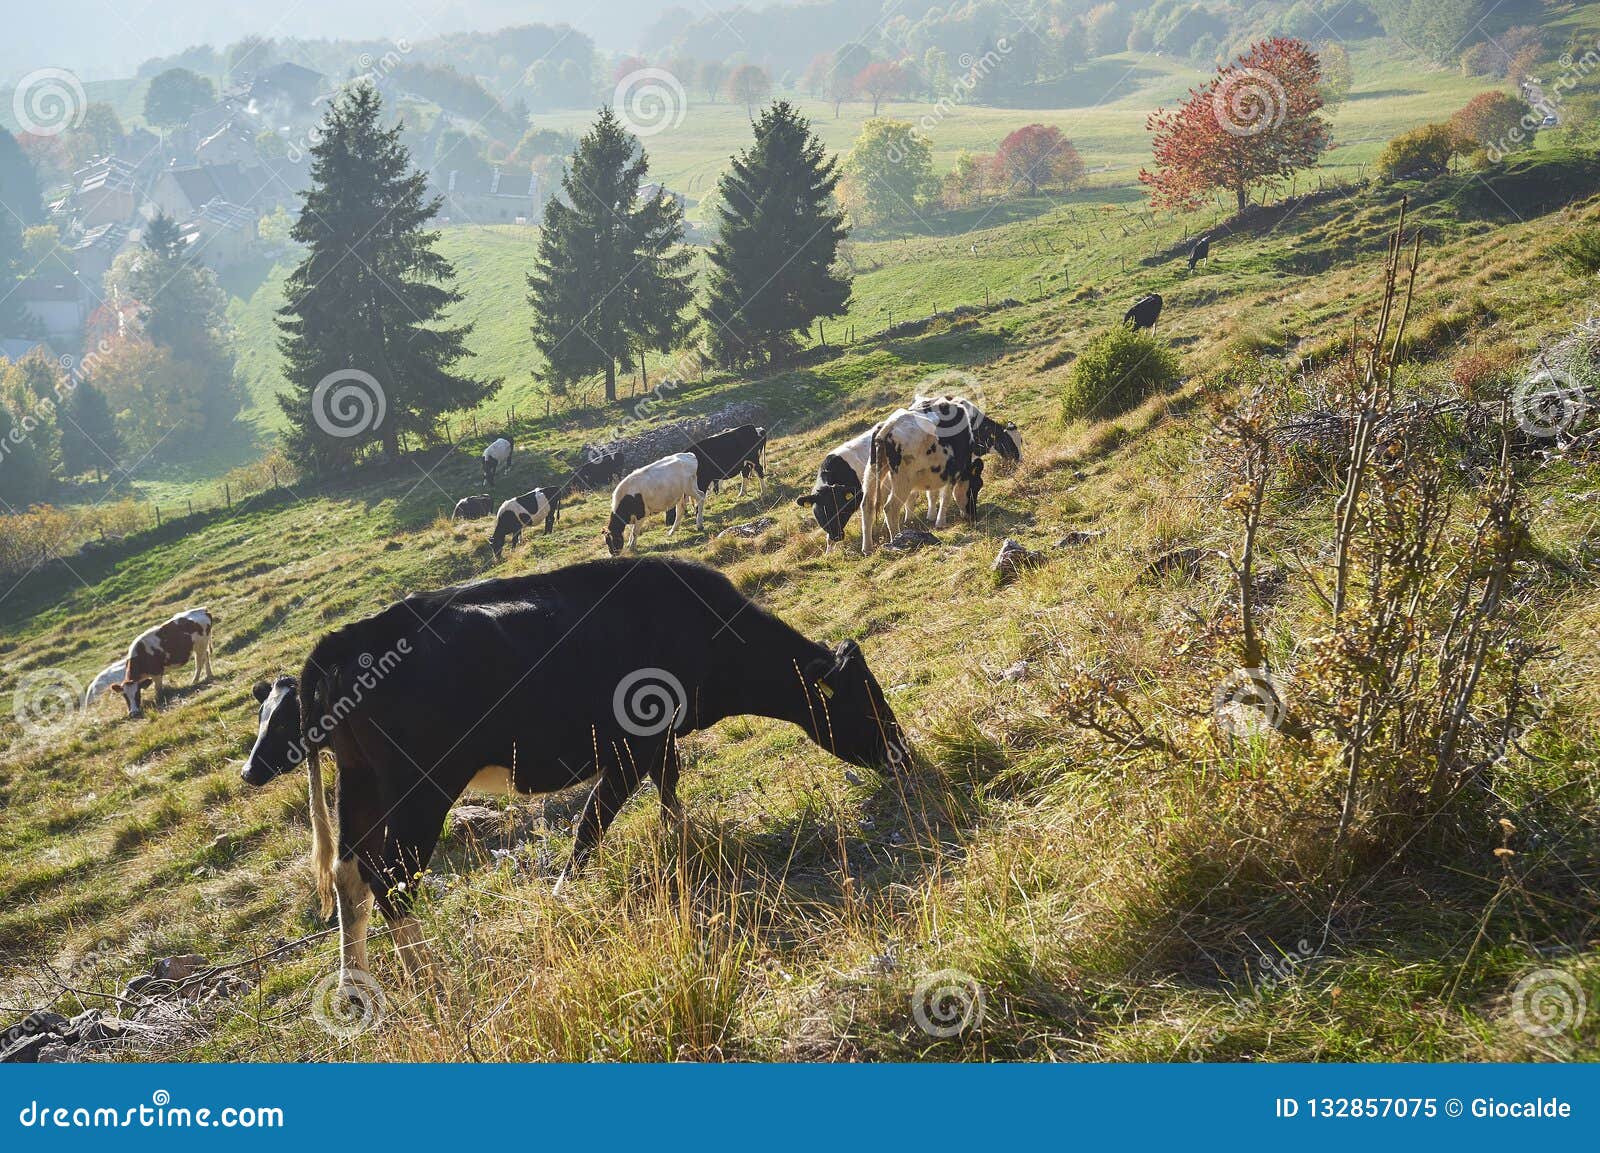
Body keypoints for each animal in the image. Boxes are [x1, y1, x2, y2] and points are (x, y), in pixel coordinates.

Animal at [239, 557, 907, 993]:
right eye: (866, 698)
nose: (904, 755)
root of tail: (348, 636)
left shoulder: (657, 742)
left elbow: (669, 788)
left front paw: (682, 842)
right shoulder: (631, 744)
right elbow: (592, 825)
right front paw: (564, 897)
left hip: (359, 784)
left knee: (350, 878)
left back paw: (356, 984)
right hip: (421, 788)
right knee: (391, 878)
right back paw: (435, 976)